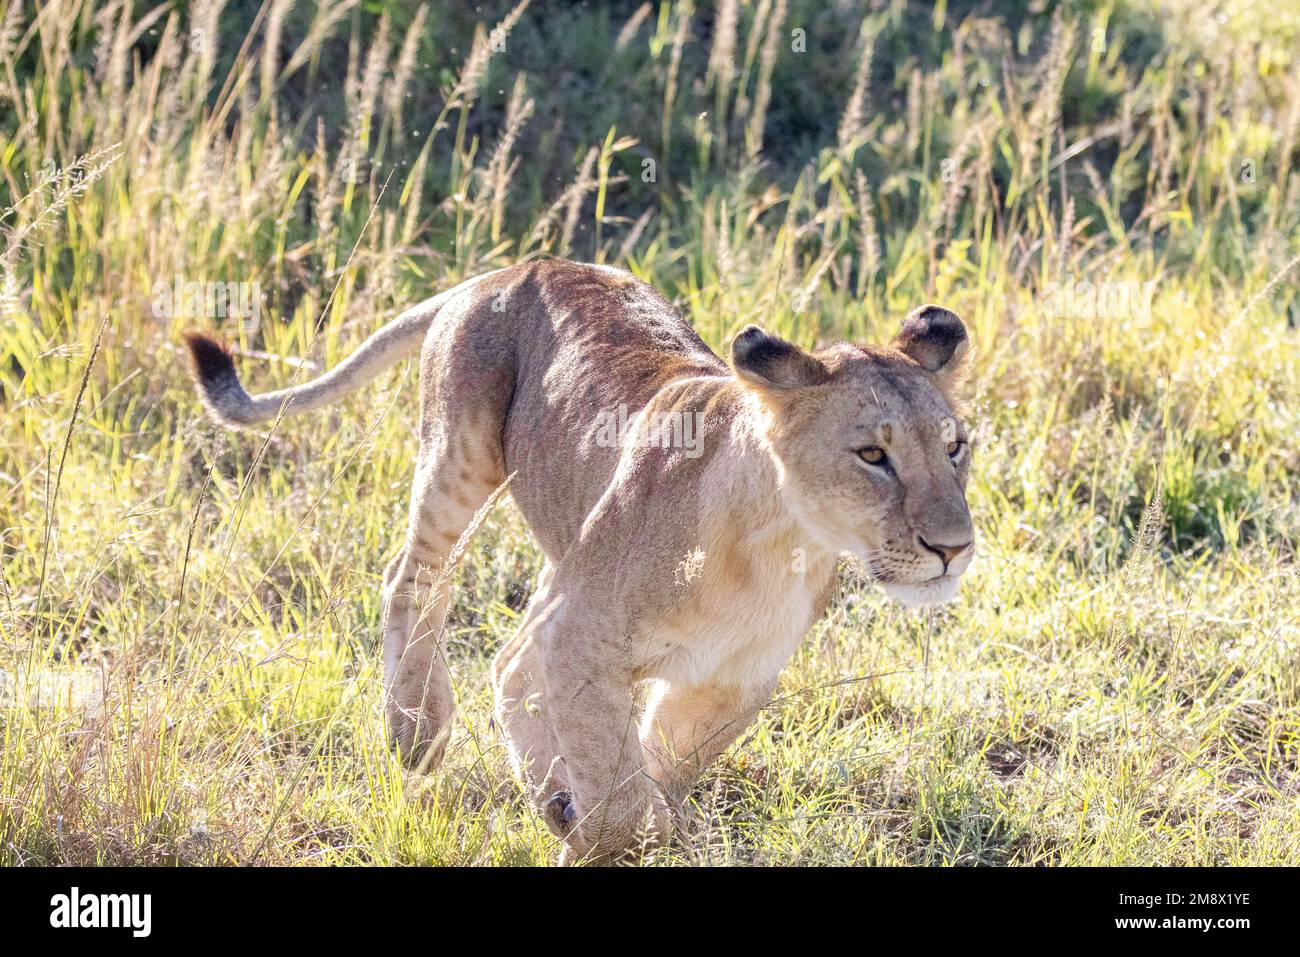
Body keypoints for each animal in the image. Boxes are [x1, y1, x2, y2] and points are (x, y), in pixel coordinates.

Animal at [183, 259, 974, 864]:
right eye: (872, 455)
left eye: (955, 447)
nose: (954, 548)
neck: (777, 547)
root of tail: (503, 269)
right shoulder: (583, 639)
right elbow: (622, 794)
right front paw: (598, 835)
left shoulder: (727, 681)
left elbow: (653, 774)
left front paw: (598, 822)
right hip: (461, 456)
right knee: (415, 579)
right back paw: (418, 731)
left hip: (567, 545)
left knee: (509, 660)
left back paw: (545, 791)